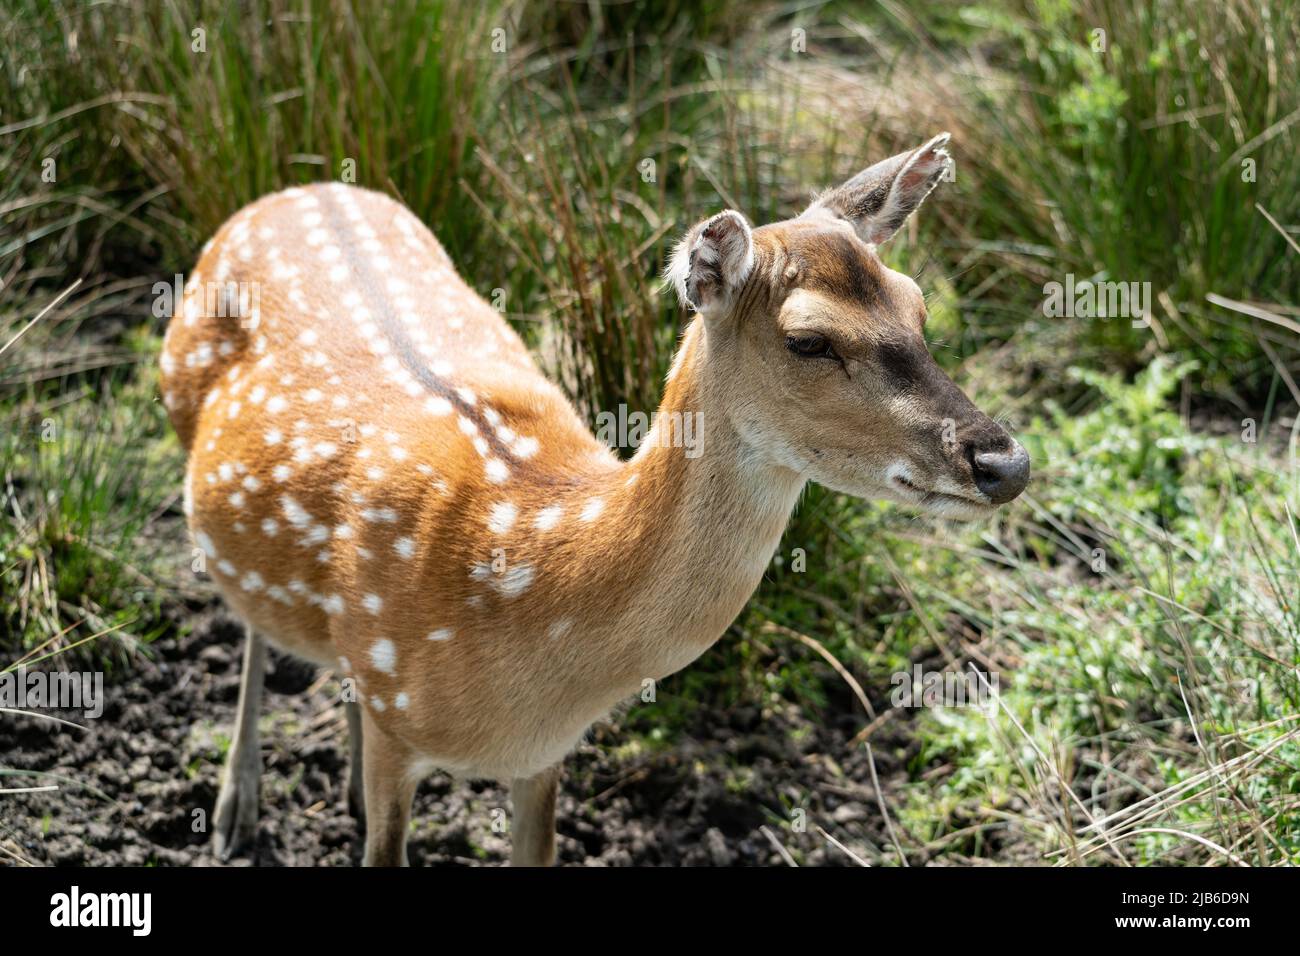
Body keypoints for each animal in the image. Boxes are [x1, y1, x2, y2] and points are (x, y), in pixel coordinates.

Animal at [159, 132, 1030, 866]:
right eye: (808, 341)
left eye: (919, 306)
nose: (1005, 461)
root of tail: (298, 187)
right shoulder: (400, 731)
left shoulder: (542, 756)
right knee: (247, 620)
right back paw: (236, 807)